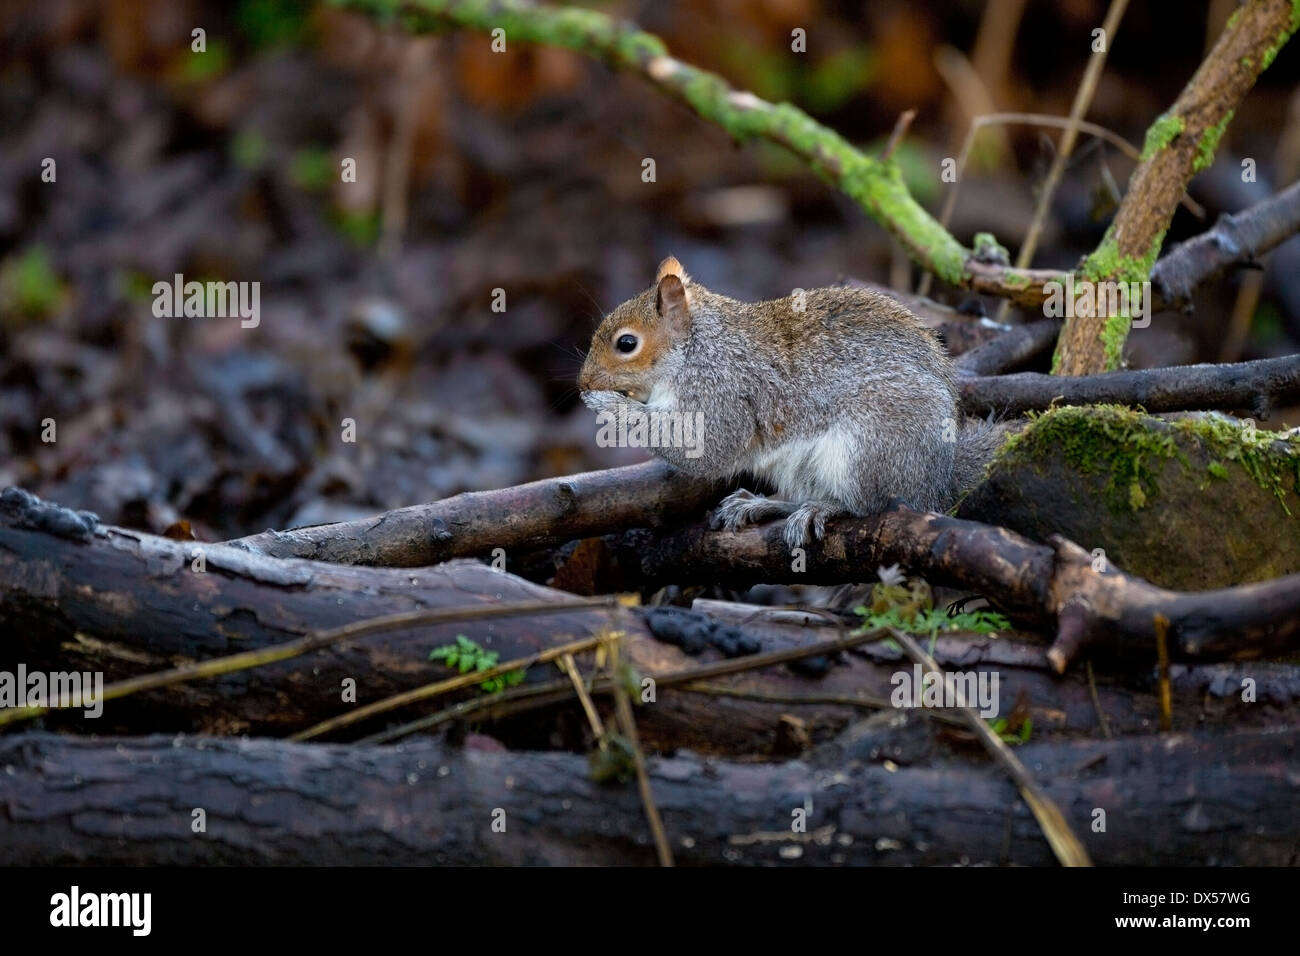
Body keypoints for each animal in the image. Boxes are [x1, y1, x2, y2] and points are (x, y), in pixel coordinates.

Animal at [578, 257, 999, 549]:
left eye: (626, 343)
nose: (583, 382)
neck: (699, 348)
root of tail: (939, 482)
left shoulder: (722, 390)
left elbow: (704, 448)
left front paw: (608, 405)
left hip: (870, 445)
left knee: (872, 504)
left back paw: (823, 508)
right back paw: (764, 505)